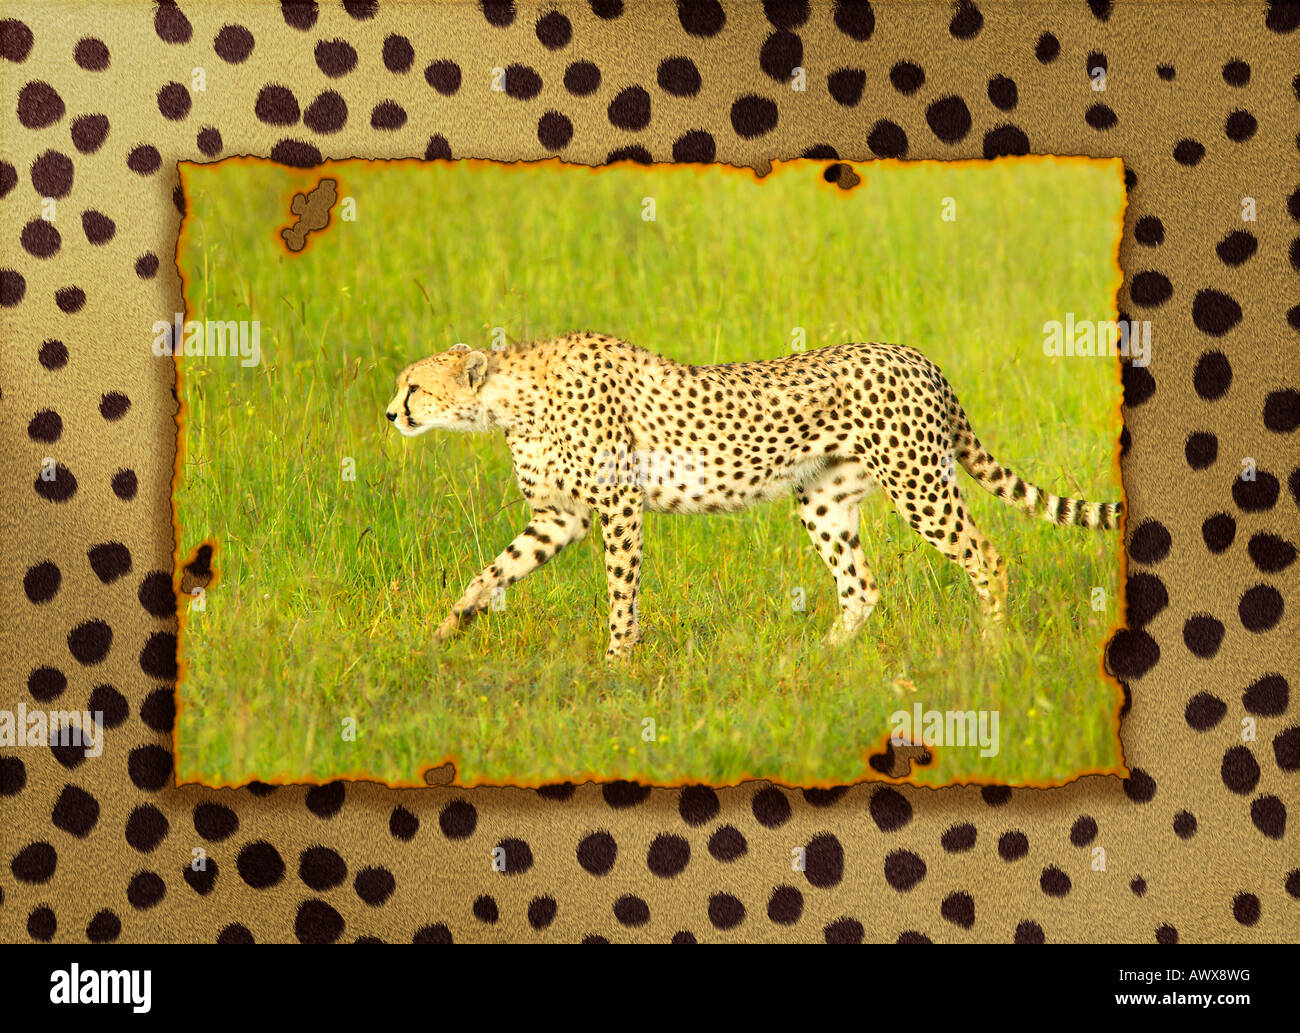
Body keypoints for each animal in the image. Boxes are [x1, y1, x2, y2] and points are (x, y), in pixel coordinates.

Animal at [385, 334, 1122, 659]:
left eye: (413, 387)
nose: (391, 414)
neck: (509, 400)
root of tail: (917, 355)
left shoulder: (618, 508)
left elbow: (621, 595)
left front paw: (617, 666)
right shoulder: (559, 517)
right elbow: (490, 572)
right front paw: (446, 629)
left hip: (918, 484)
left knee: (987, 558)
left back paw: (993, 648)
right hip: (823, 500)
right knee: (862, 587)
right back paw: (820, 660)